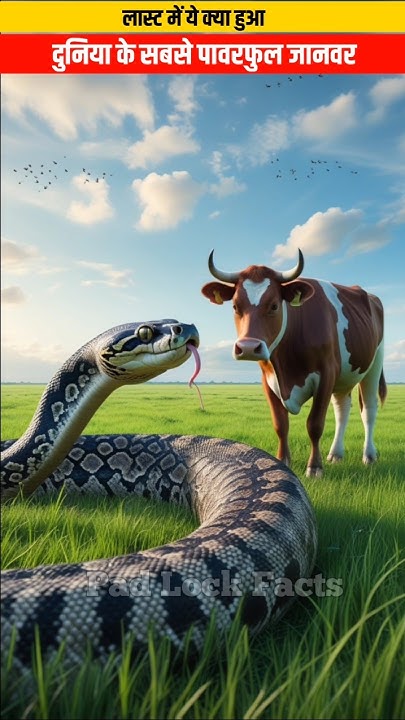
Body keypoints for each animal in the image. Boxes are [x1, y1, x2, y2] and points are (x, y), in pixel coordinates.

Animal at [201, 249, 386, 477]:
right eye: (235, 306)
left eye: (274, 305)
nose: (248, 347)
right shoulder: (268, 380)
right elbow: (280, 424)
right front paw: (282, 460)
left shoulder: (327, 373)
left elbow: (315, 424)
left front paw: (314, 467)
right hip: (345, 375)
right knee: (342, 409)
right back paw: (336, 454)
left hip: (374, 364)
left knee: (368, 410)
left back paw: (369, 456)